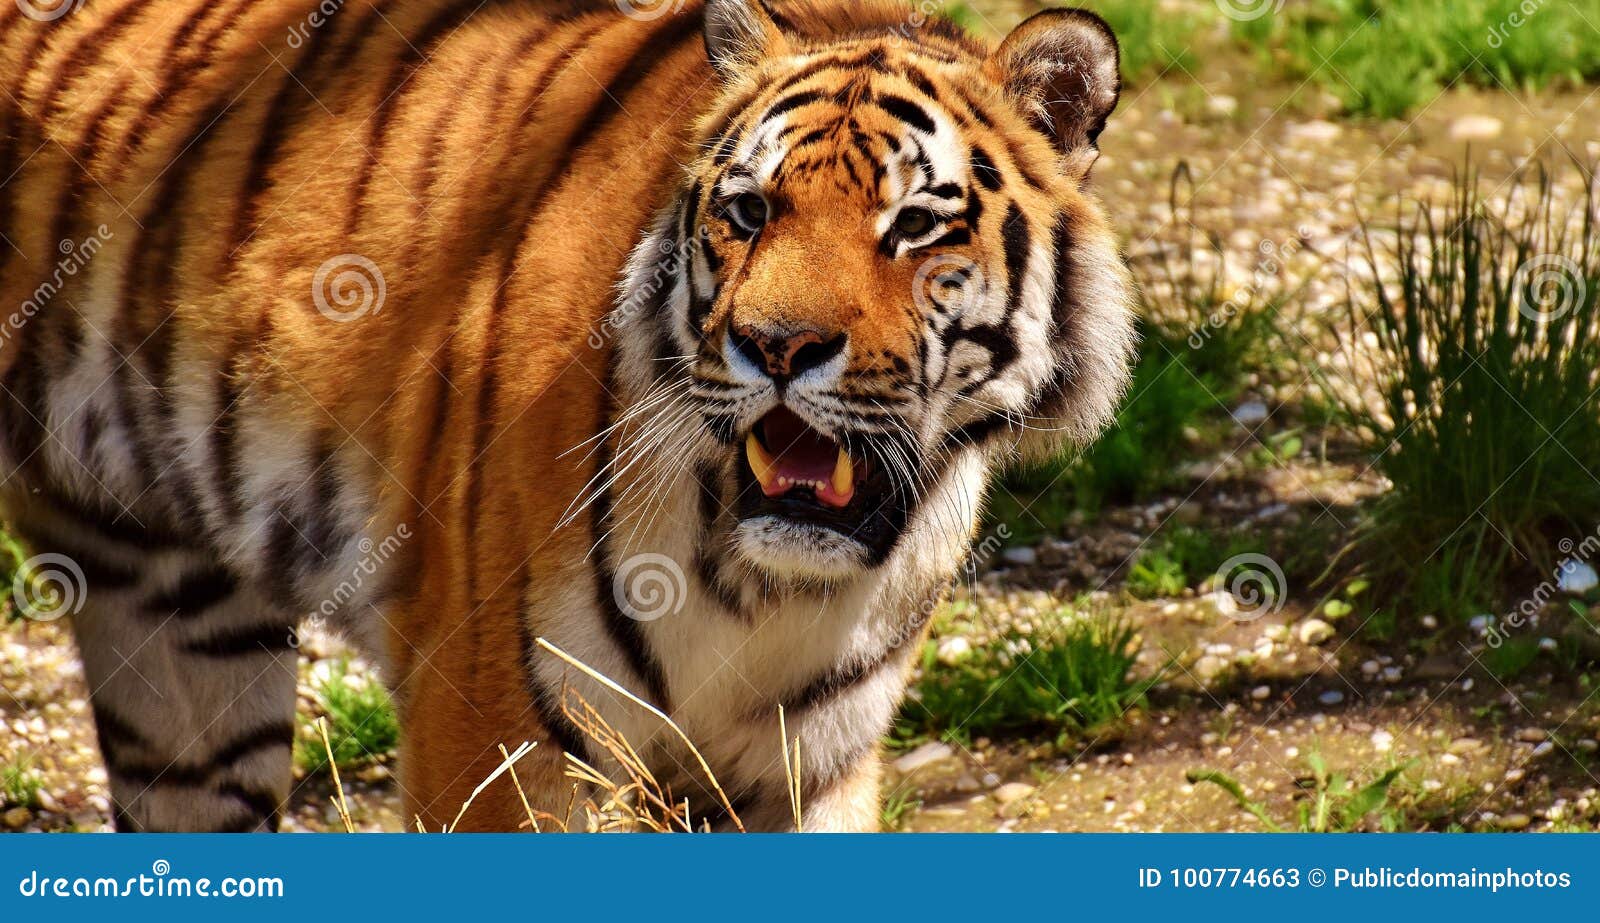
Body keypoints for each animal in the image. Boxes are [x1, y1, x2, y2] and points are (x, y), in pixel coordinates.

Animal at [0, 0, 1135, 832]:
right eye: (750, 211)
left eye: (912, 226)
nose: (774, 346)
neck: (764, 580)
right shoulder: (497, 732)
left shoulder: (813, 764)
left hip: (175, 617)